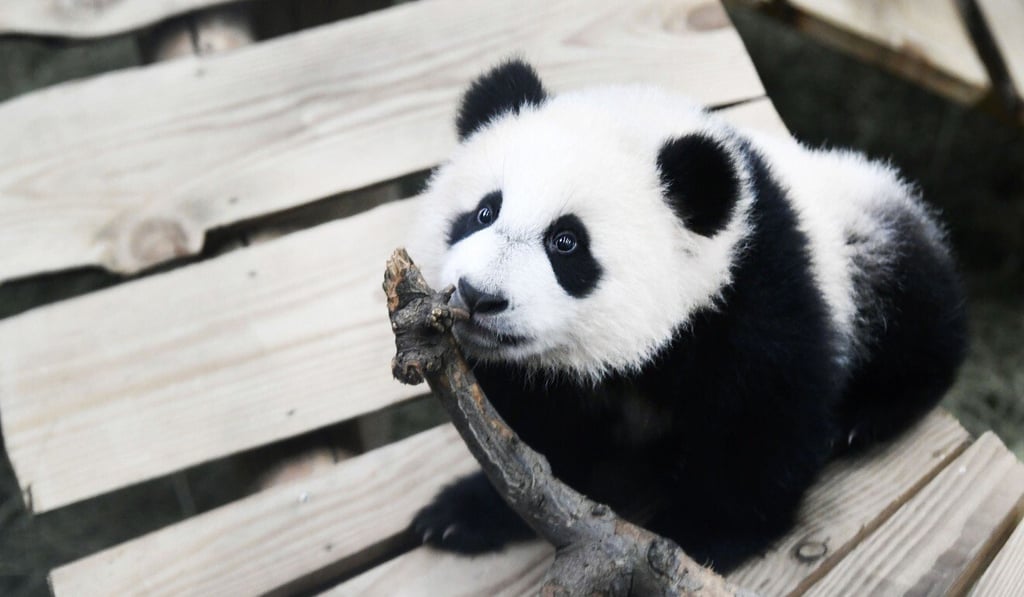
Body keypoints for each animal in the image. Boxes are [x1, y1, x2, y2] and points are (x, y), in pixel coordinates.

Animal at [407, 59, 967, 571]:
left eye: (566, 243)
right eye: (483, 212)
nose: (478, 296)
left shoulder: (759, 288)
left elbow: (763, 415)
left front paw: (698, 536)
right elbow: (529, 435)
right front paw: (467, 513)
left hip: (869, 242)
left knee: (917, 321)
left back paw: (864, 417)